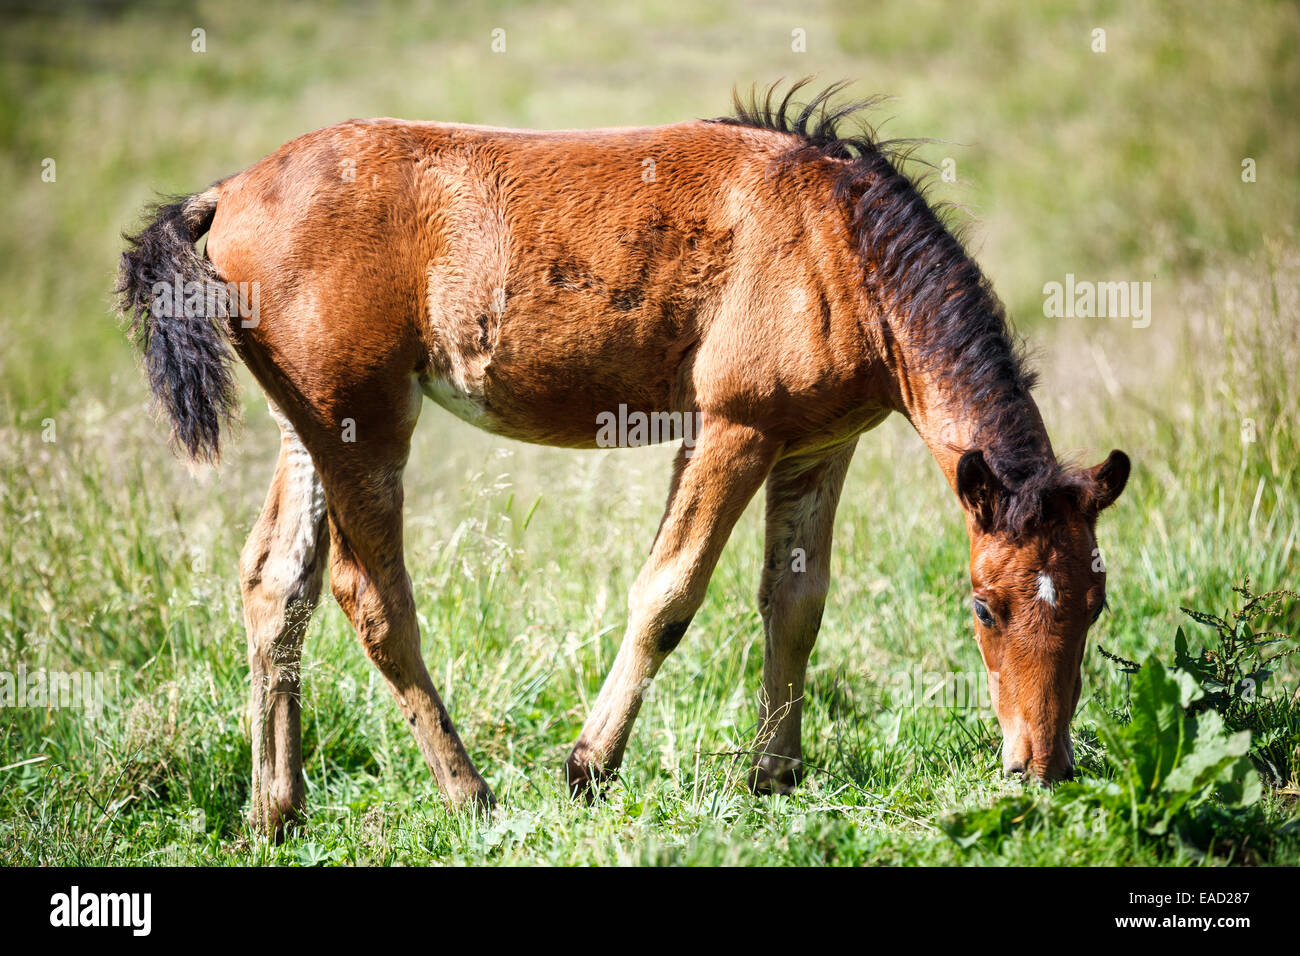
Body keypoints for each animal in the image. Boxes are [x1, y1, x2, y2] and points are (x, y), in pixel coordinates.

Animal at [117, 81, 1130, 836]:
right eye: (985, 607)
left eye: (1095, 602)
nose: (1044, 766)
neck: (839, 246)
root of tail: (228, 194)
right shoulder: (731, 431)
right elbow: (669, 593)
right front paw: (589, 766)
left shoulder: (818, 448)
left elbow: (795, 603)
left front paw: (776, 773)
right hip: (362, 425)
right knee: (371, 597)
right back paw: (470, 794)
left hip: (310, 427)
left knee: (273, 581)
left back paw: (275, 812)